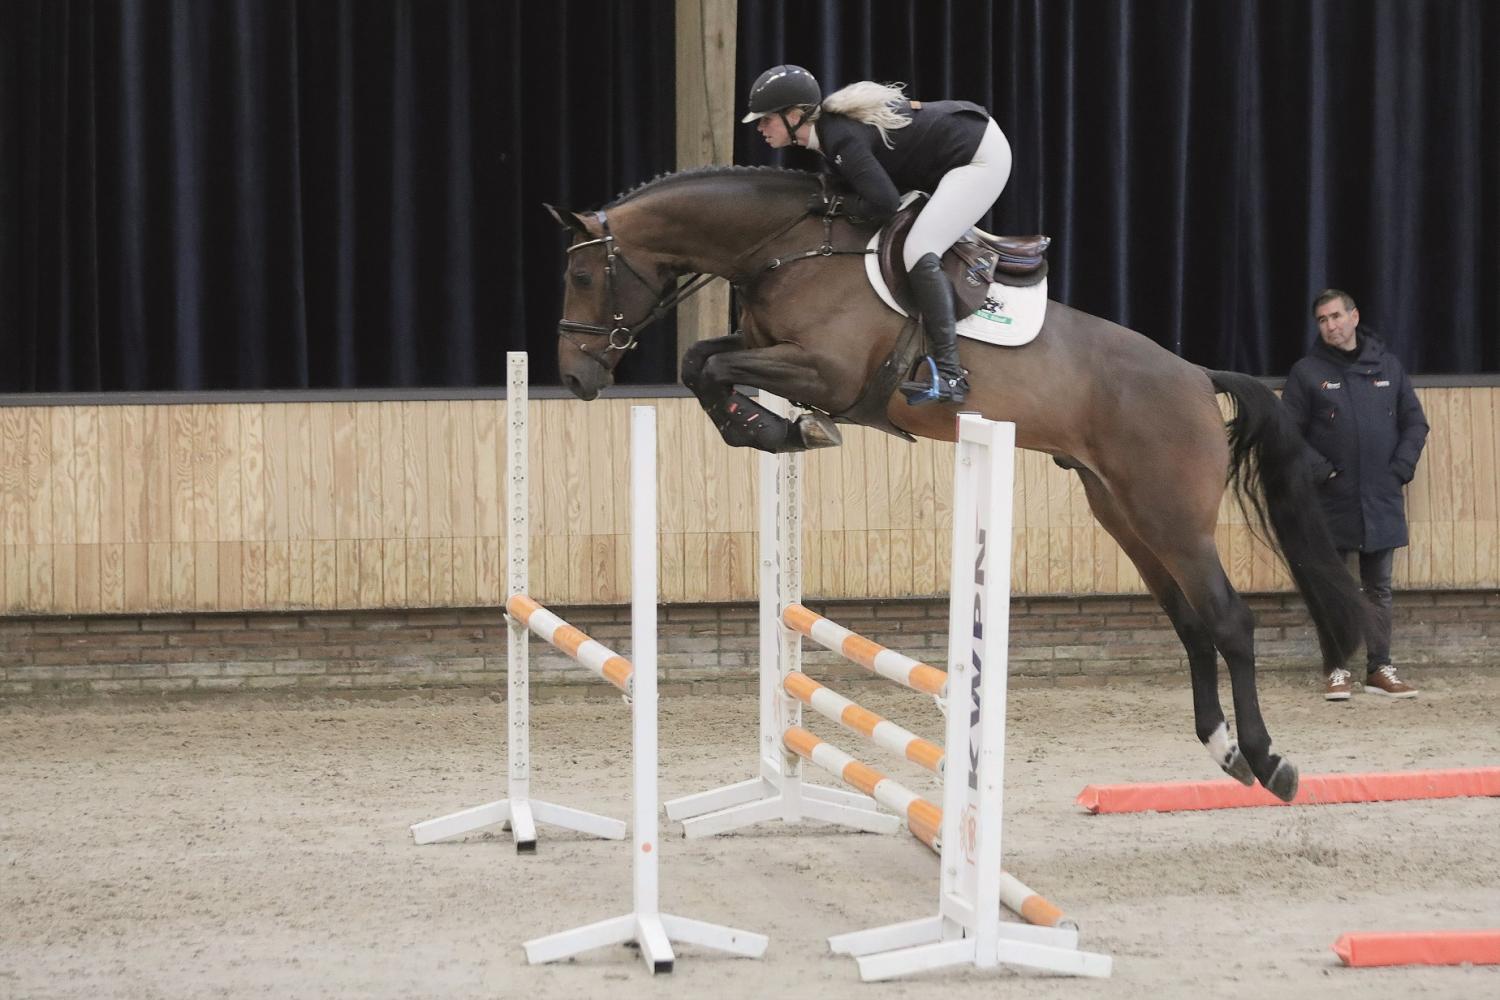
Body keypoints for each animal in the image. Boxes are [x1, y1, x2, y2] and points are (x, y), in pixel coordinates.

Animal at [544, 165, 1370, 803]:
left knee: (1229, 621)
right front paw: (774, 429)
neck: (785, 250)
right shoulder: (769, 350)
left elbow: (712, 367)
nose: (575, 379)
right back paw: (1222, 749)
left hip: (1173, 519)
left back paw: (1267, 760)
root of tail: (1198, 377)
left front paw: (788, 429)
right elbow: (702, 364)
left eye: (583, 275)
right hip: (1125, 514)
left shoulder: (827, 372)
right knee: (1192, 624)